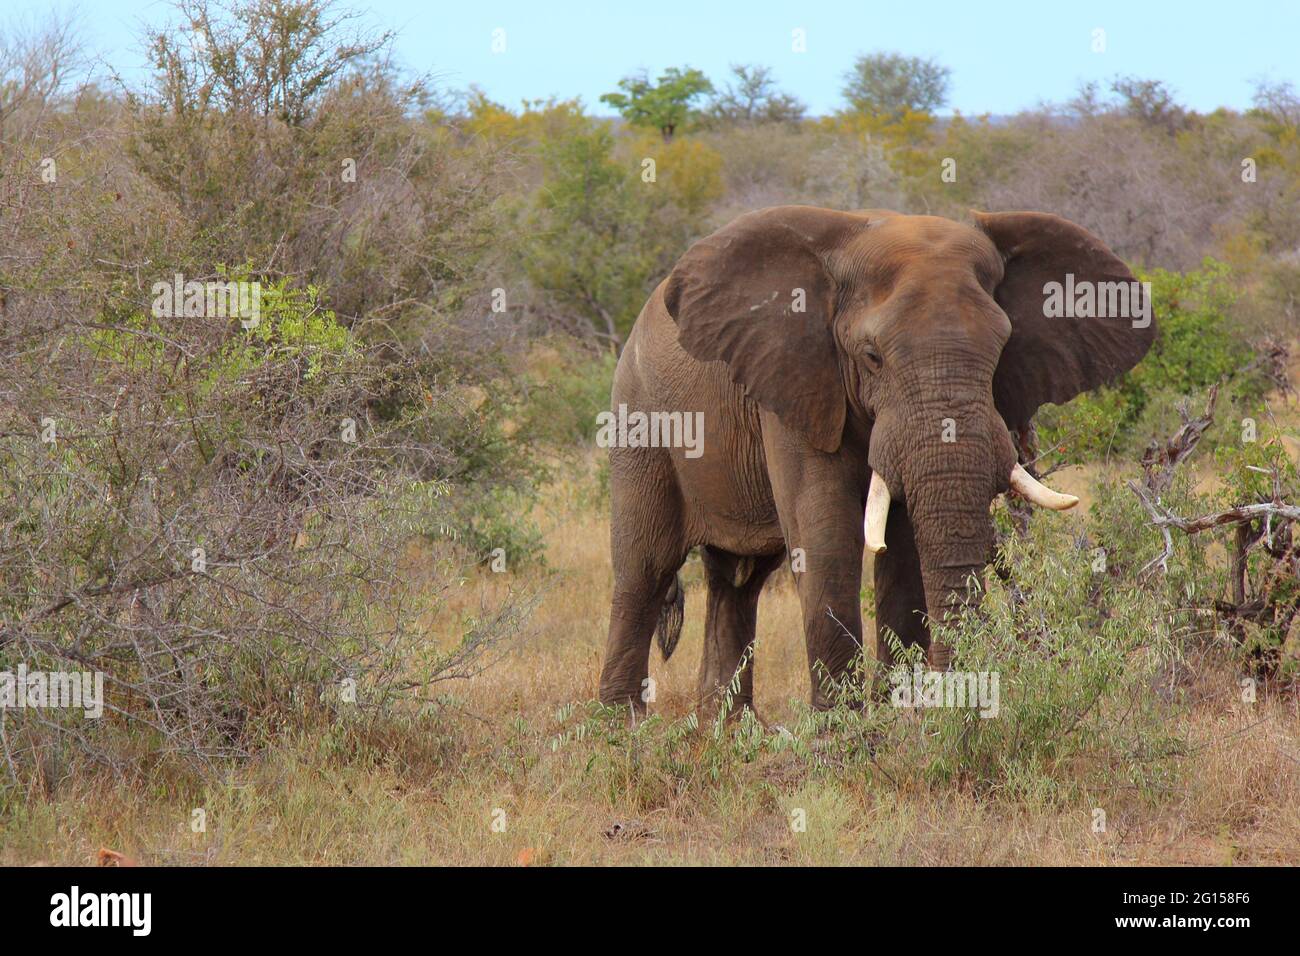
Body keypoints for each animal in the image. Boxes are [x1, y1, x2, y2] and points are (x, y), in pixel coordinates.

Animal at [596, 205, 1154, 714]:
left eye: (1001, 351)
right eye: (872, 357)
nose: (956, 699)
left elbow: (903, 550)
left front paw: (898, 723)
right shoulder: (797, 381)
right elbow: (825, 537)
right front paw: (843, 737)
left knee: (739, 581)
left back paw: (730, 730)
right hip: (639, 414)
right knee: (644, 570)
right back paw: (622, 731)